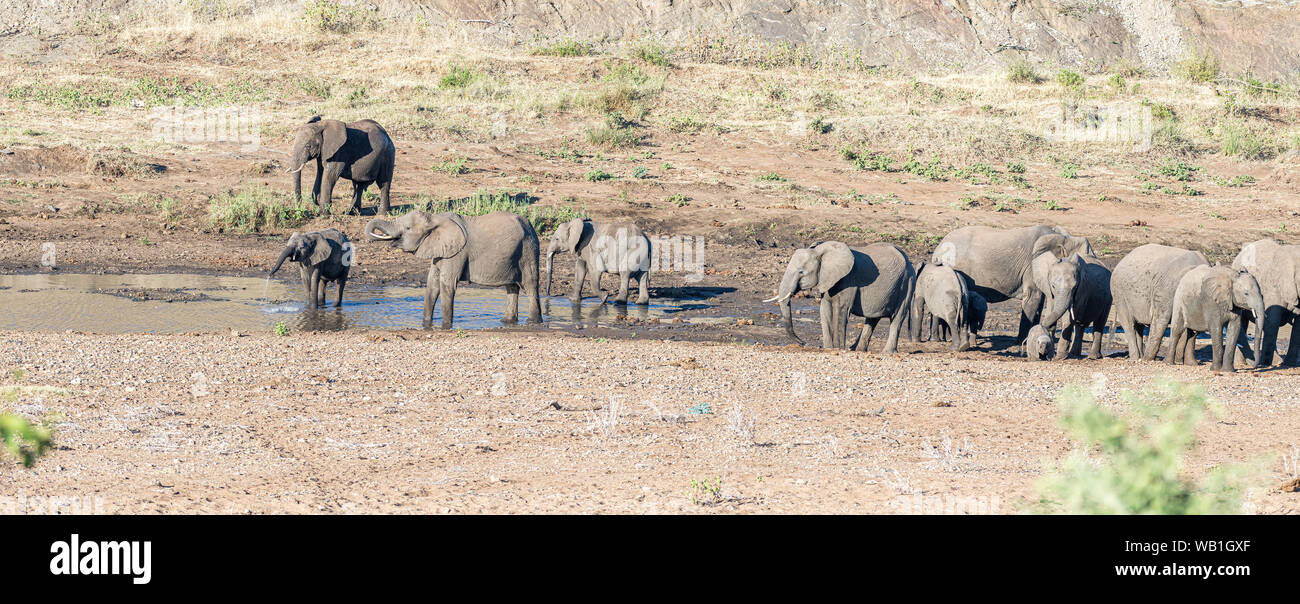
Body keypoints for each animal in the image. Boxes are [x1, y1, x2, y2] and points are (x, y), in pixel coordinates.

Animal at [365, 210, 542, 329]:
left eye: (408, 228)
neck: (434, 218)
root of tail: (530, 225)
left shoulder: (457, 252)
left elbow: (446, 284)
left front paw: (446, 326)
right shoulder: (440, 250)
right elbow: (432, 283)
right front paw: (426, 325)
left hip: (528, 248)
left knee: (530, 284)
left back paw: (533, 322)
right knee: (511, 287)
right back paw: (507, 322)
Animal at [768, 241, 914, 353]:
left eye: (801, 272)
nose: (803, 343)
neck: (820, 251)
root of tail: (909, 260)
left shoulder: (850, 279)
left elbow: (841, 310)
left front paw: (838, 349)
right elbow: (824, 309)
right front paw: (828, 349)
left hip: (907, 283)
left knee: (897, 317)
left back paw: (887, 352)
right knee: (872, 319)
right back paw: (856, 349)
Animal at [930, 225, 1093, 348]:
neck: (1063, 237)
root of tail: (937, 249)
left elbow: (1039, 303)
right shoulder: (1031, 266)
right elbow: (1032, 298)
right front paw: (1021, 342)